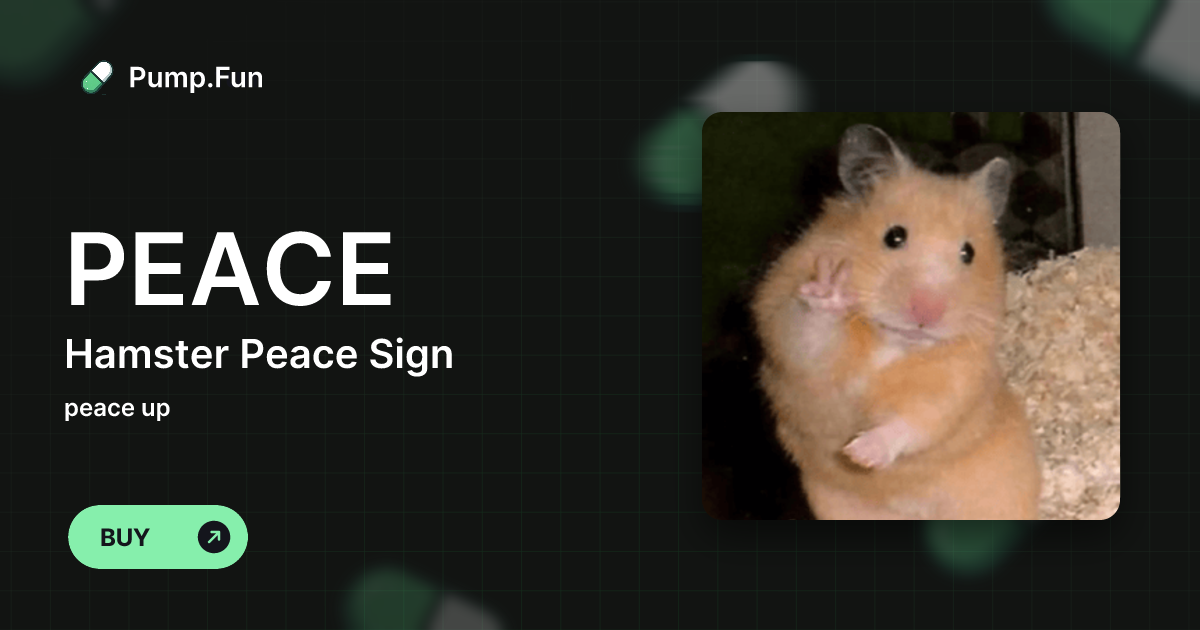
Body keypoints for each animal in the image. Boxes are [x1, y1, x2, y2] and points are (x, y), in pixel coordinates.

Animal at [751, 124, 1041, 520]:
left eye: (968, 253)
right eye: (894, 236)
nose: (927, 312)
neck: (893, 344)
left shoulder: (959, 380)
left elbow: (919, 420)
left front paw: (859, 454)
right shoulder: (790, 339)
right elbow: (810, 335)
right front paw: (831, 288)